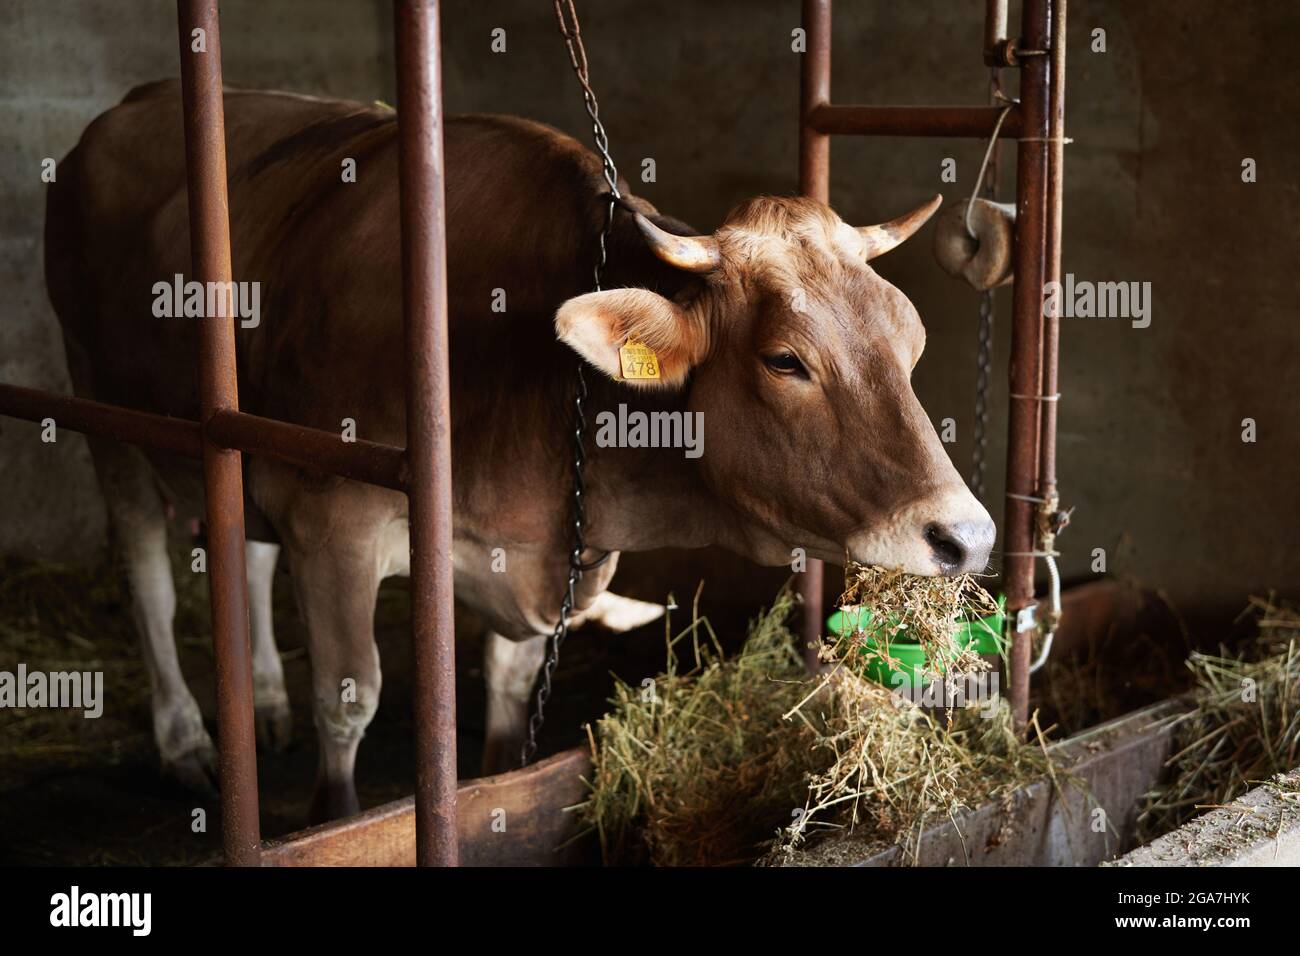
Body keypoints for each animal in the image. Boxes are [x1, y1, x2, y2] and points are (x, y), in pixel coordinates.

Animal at [44, 80, 995, 821]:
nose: (969, 537)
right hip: (103, 407)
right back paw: (184, 743)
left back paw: (264, 704)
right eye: (786, 360)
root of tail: (128, 107)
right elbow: (349, 702)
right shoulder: (334, 522)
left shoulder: (530, 546)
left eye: (911, 340)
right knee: (148, 572)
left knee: (242, 548)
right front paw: (333, 816)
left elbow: (506, 703)